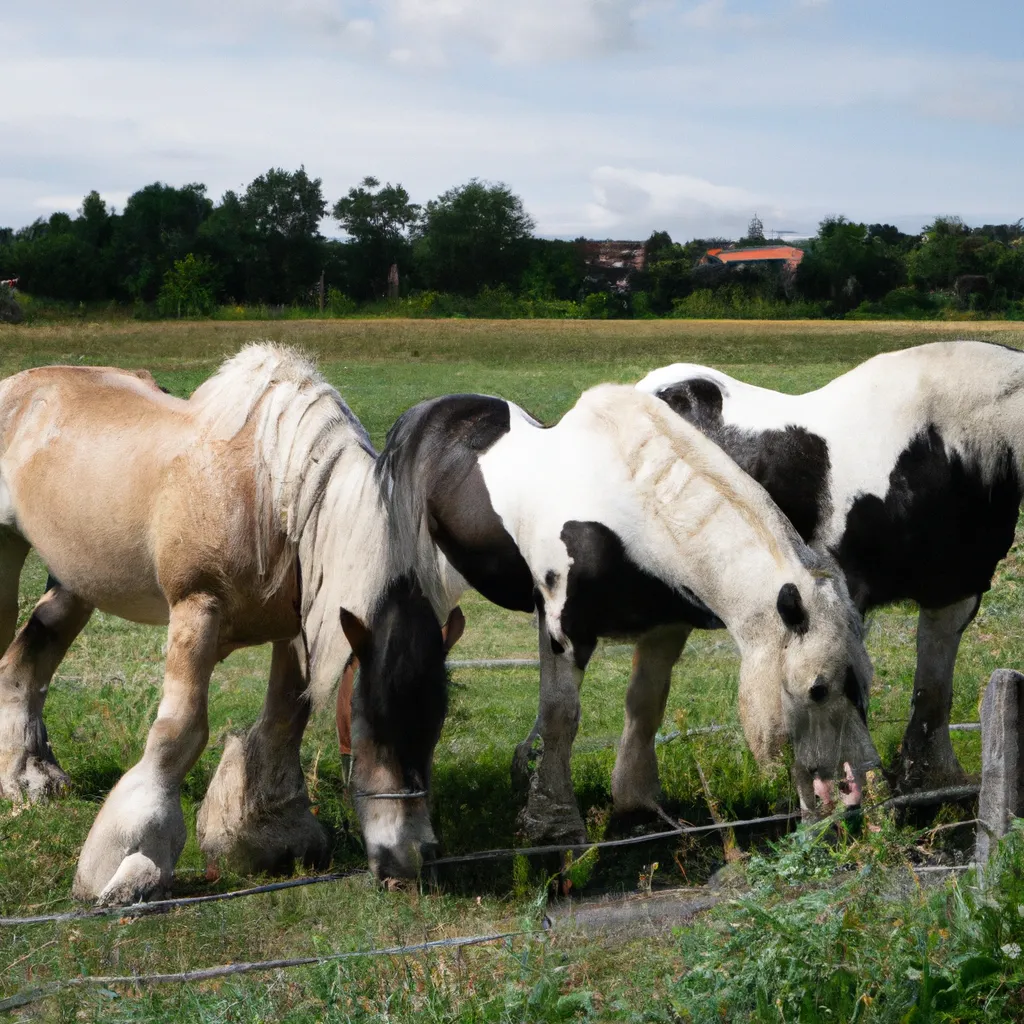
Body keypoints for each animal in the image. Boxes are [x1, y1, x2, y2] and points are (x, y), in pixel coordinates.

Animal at [0, 343, 460, 901]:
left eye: (435, 723)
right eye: (366, 721)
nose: (410, 862)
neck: (271, 491)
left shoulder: (295, 632)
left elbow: (285, 719)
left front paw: (264, 836)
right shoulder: (196, 611)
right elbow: (181, 729)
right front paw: (129, 853)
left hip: (73, 584)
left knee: (24, 665)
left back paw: (32, 777)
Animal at [356, 383, 878, 845]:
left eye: (865, 685)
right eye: (817, 689)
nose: (852, 800)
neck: (631, 509)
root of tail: (424, 413)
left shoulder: (665, 627)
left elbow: (645, 706)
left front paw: (639, 807)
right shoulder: (563, 630)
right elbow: (560, 716)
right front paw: (554, 825)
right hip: (430, 584)